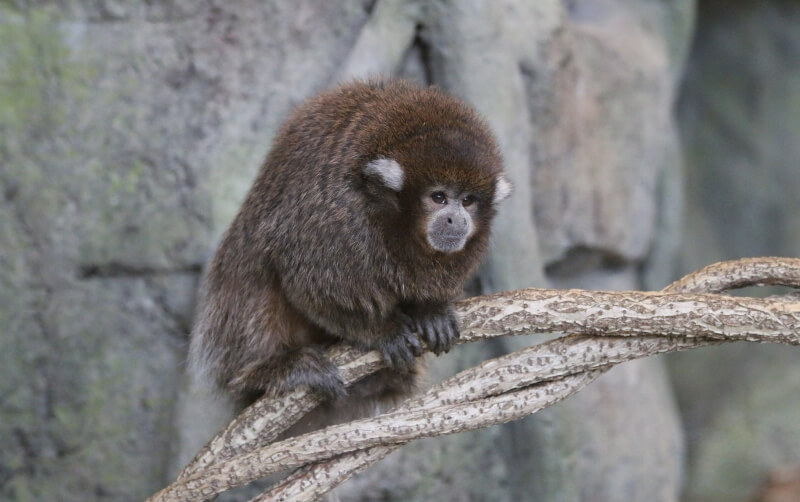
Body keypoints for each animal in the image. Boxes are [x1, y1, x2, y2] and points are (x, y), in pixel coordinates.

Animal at [188, 79, 511, 427]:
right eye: (439, 197)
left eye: (467, 201)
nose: (456, 219)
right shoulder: (336, 218)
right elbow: (306, 287)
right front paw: (381, 331)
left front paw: (430, 310)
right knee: (255, 270)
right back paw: (268, 370)